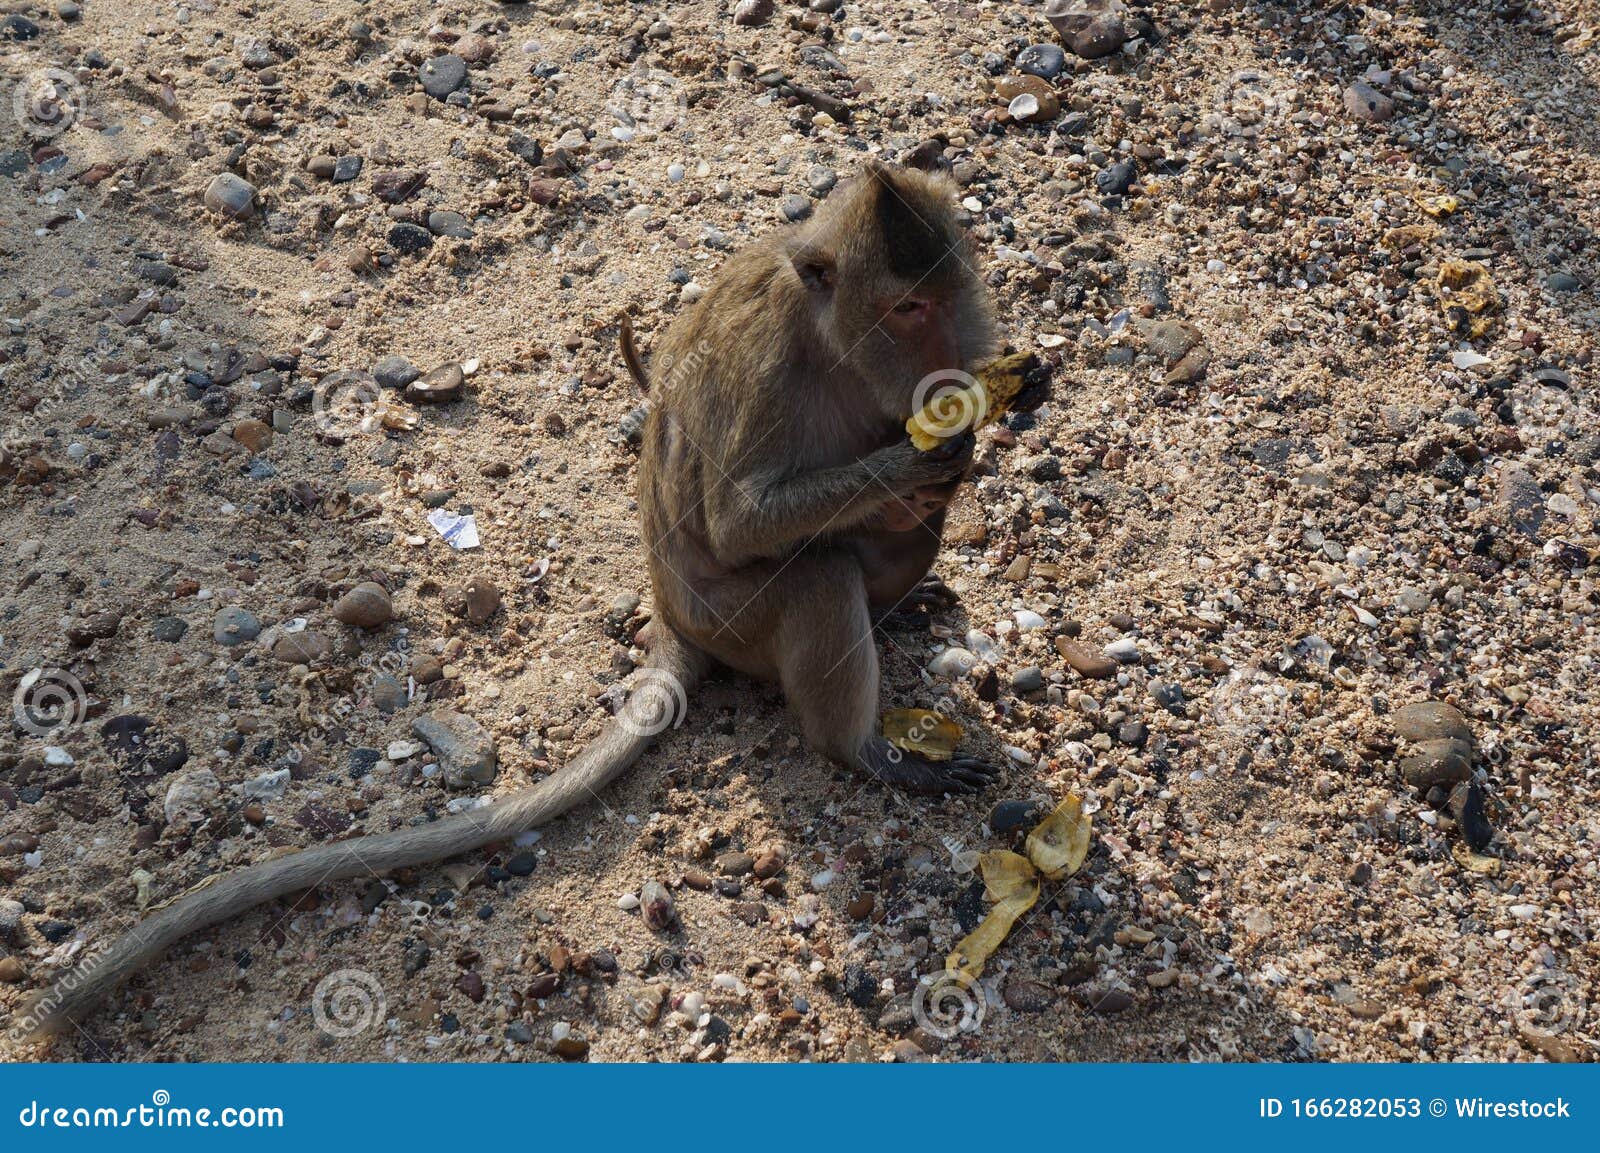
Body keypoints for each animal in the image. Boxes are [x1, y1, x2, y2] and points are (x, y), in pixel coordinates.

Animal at [15, 161, 1040, 1041]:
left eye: (948, 299)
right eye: (906, 308)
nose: (952, 356)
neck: (832, 337)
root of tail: (670, 614)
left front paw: (988, 420)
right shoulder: (766, 367)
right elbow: (744, 515)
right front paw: (920, 454)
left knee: (902, 539)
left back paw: (903, 604)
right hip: (735, 620)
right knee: (819, 571)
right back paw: (864, 750)